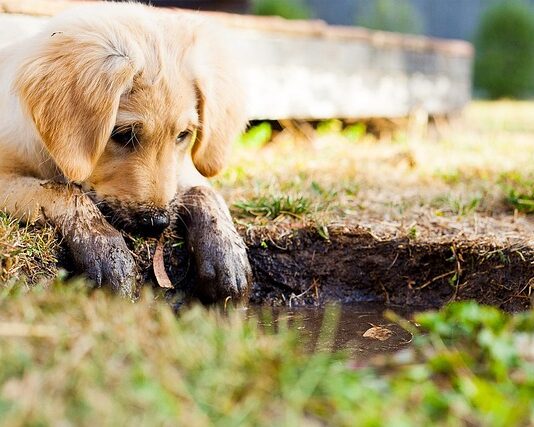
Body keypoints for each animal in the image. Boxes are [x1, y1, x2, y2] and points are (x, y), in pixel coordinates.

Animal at [0, 1, 253, 302]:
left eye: (182, 135)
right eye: (123, 135)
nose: (157, 223)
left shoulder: (178, 170)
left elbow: (204, 190)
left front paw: (226, 253)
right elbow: (60, 191)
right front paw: (107, 251)